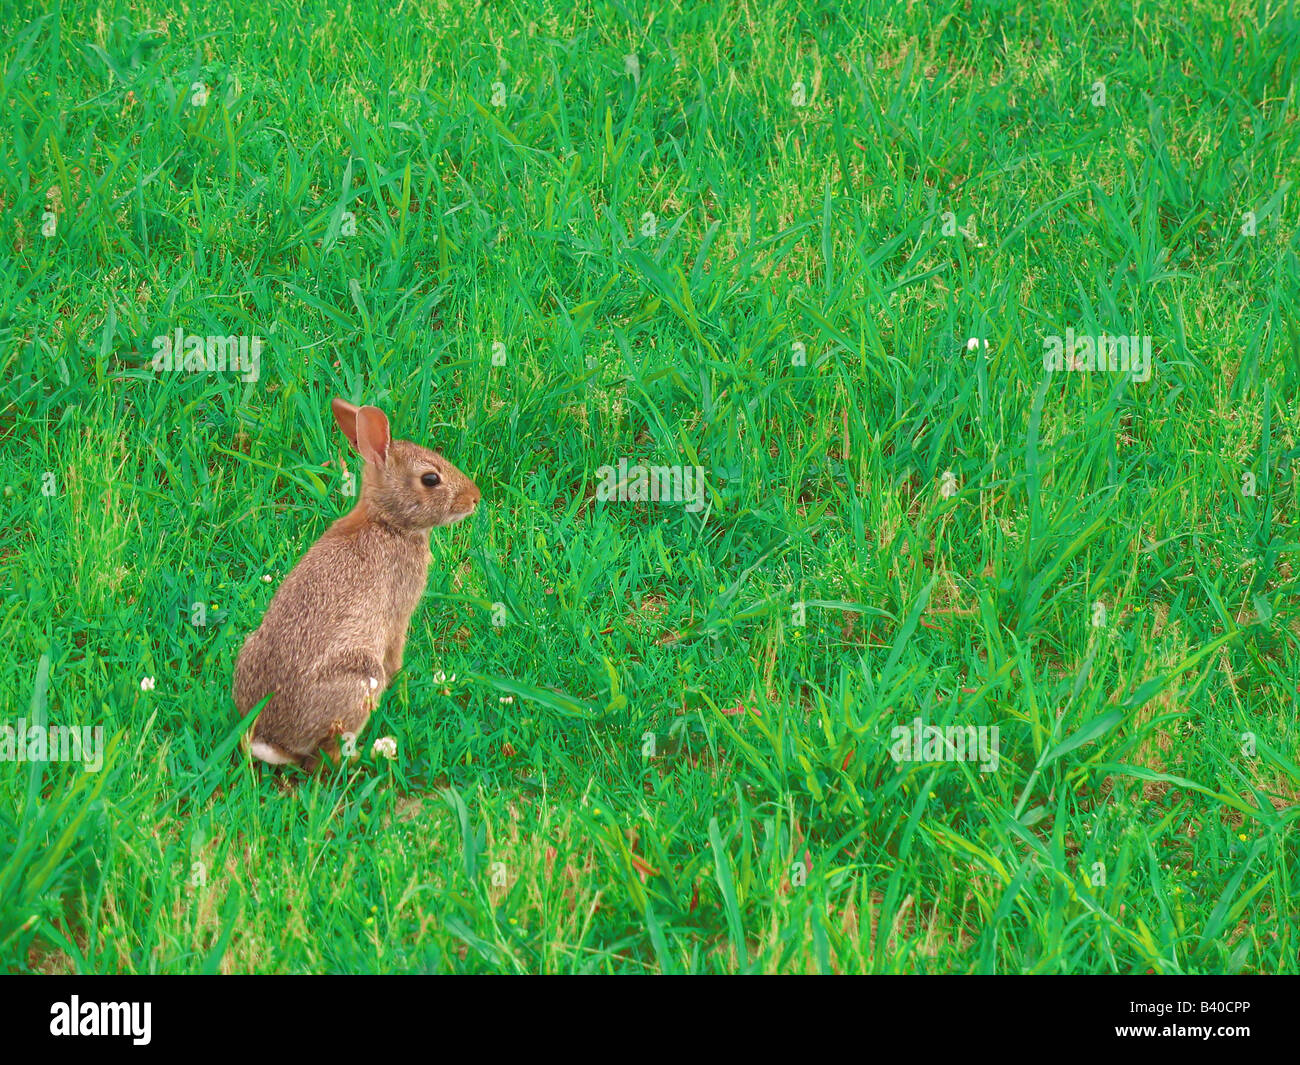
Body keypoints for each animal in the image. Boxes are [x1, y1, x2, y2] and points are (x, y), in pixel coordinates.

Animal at [233, 398, 480, 771]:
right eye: (430, 478)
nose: (475, 498)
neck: (388, 523)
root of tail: (274, 740)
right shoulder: (397, 615)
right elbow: (396, 653)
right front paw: (404, 686)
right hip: (360, 678)